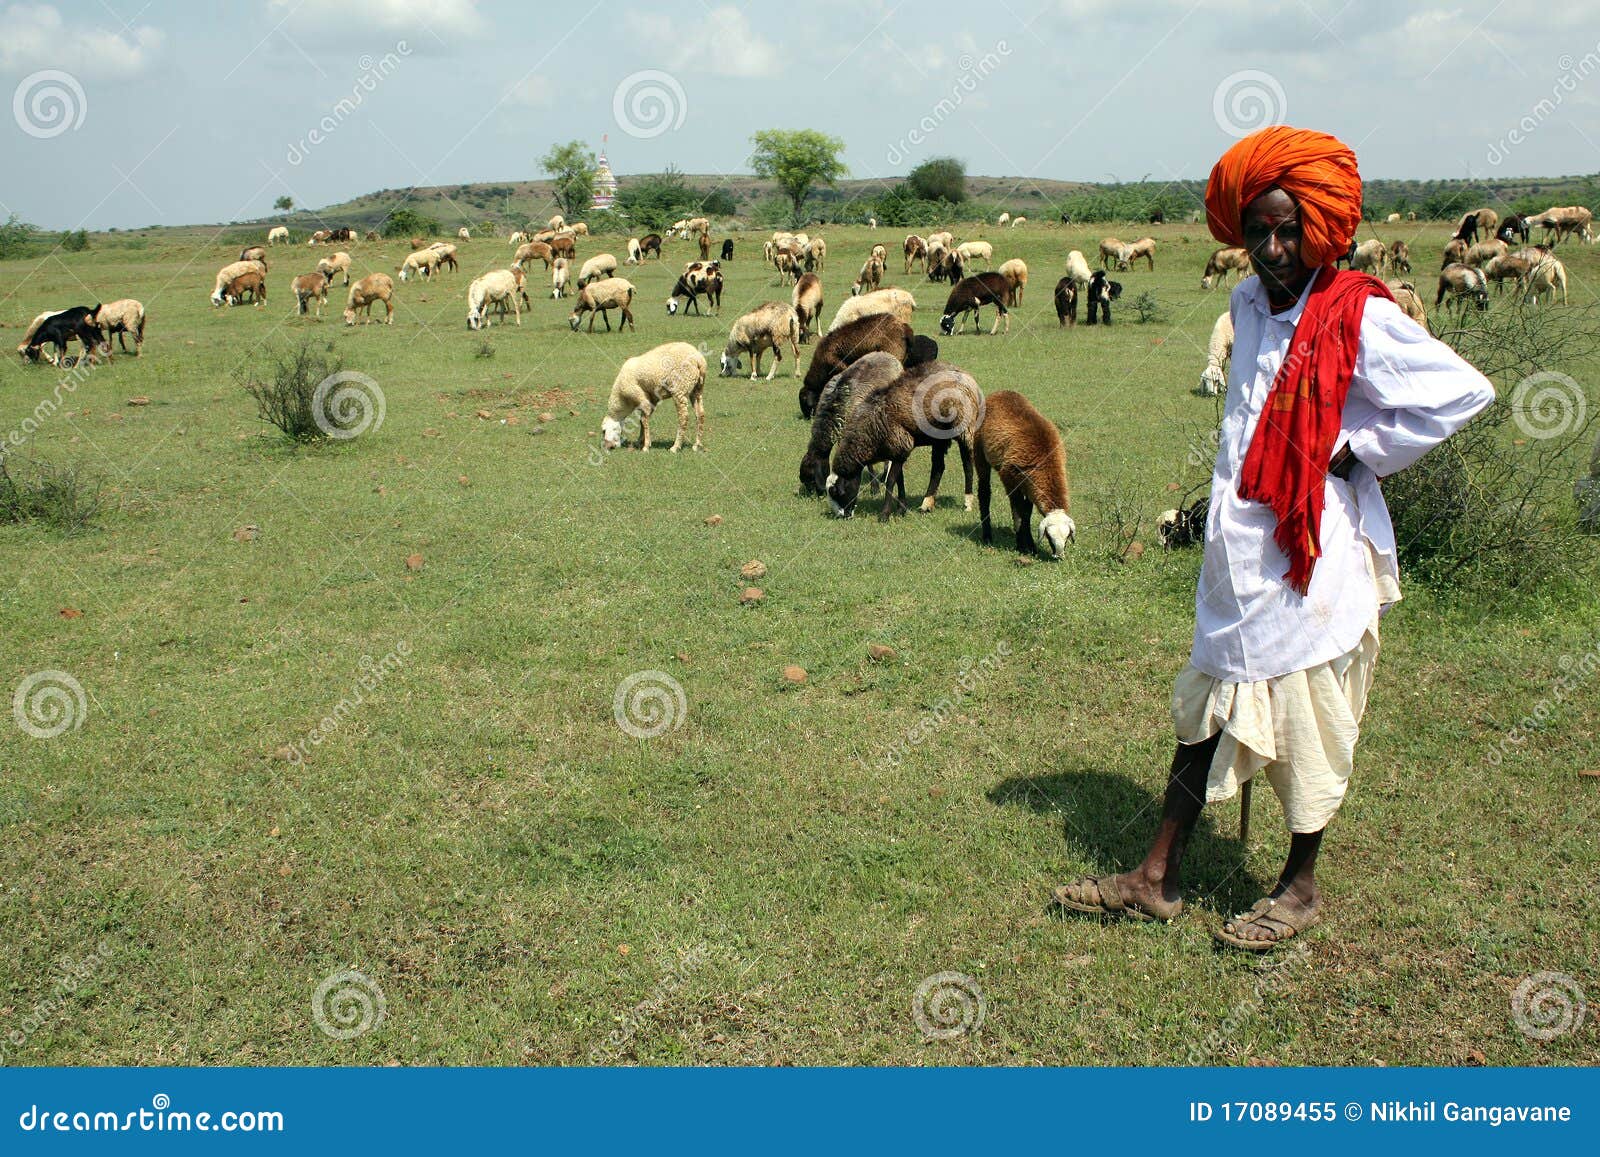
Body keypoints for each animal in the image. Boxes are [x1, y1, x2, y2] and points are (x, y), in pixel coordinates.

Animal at [825, 360, 982, 520]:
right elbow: (900, 480)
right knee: (938, 467)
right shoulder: (897, 451)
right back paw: (926, 504)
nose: (843, 516)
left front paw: (884, 515)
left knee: (967, 465)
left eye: (838, 492)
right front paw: (901, 509)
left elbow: (890, 482)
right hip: (939, 437)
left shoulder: (900, 446)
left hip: (965, 427)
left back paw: (967, 503)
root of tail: (965, 374)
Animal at [974, 390, 1075, 557]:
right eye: (1049, 536)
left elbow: (1026, 513)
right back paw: (987, 536)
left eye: (1067, 537)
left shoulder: (1030, 484)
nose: (1058, 555)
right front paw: (1021, 546)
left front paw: (1031, 546)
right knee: (984, 492)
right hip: (979, 452)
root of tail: (999, 393)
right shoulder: (1010, 478)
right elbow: (1018, 514)